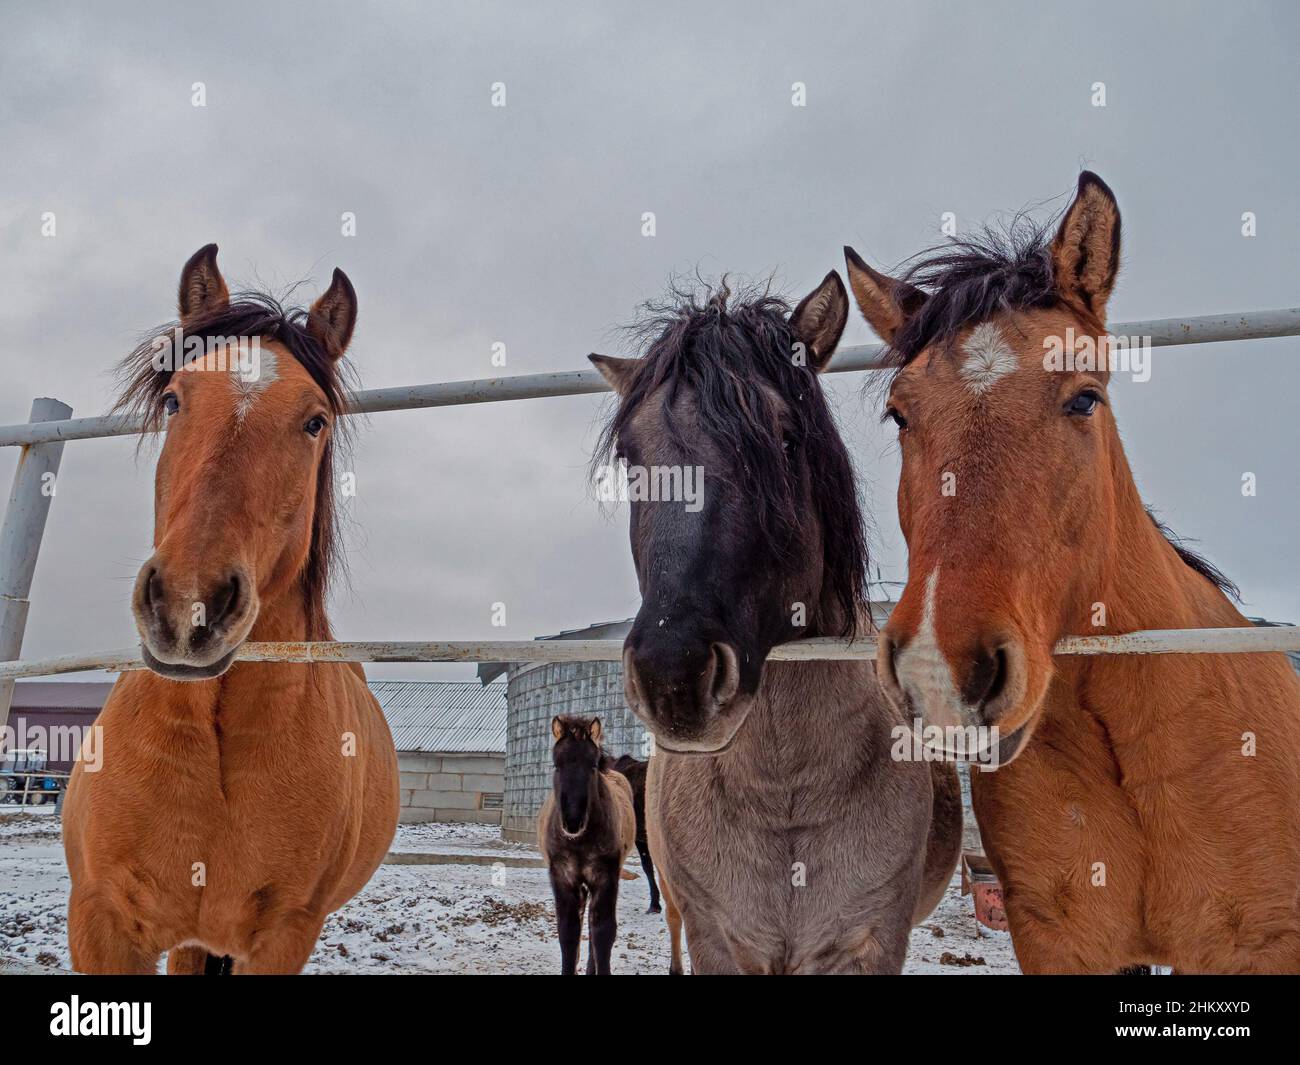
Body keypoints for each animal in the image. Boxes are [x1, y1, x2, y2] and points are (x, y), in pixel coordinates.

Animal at [538, 716, 637, 975]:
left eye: (592, 765)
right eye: (557, 765)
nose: (572, 821)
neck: (579, 842)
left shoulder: (606, 876)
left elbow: (603, 931)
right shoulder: (562, 877)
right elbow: (568, 931)